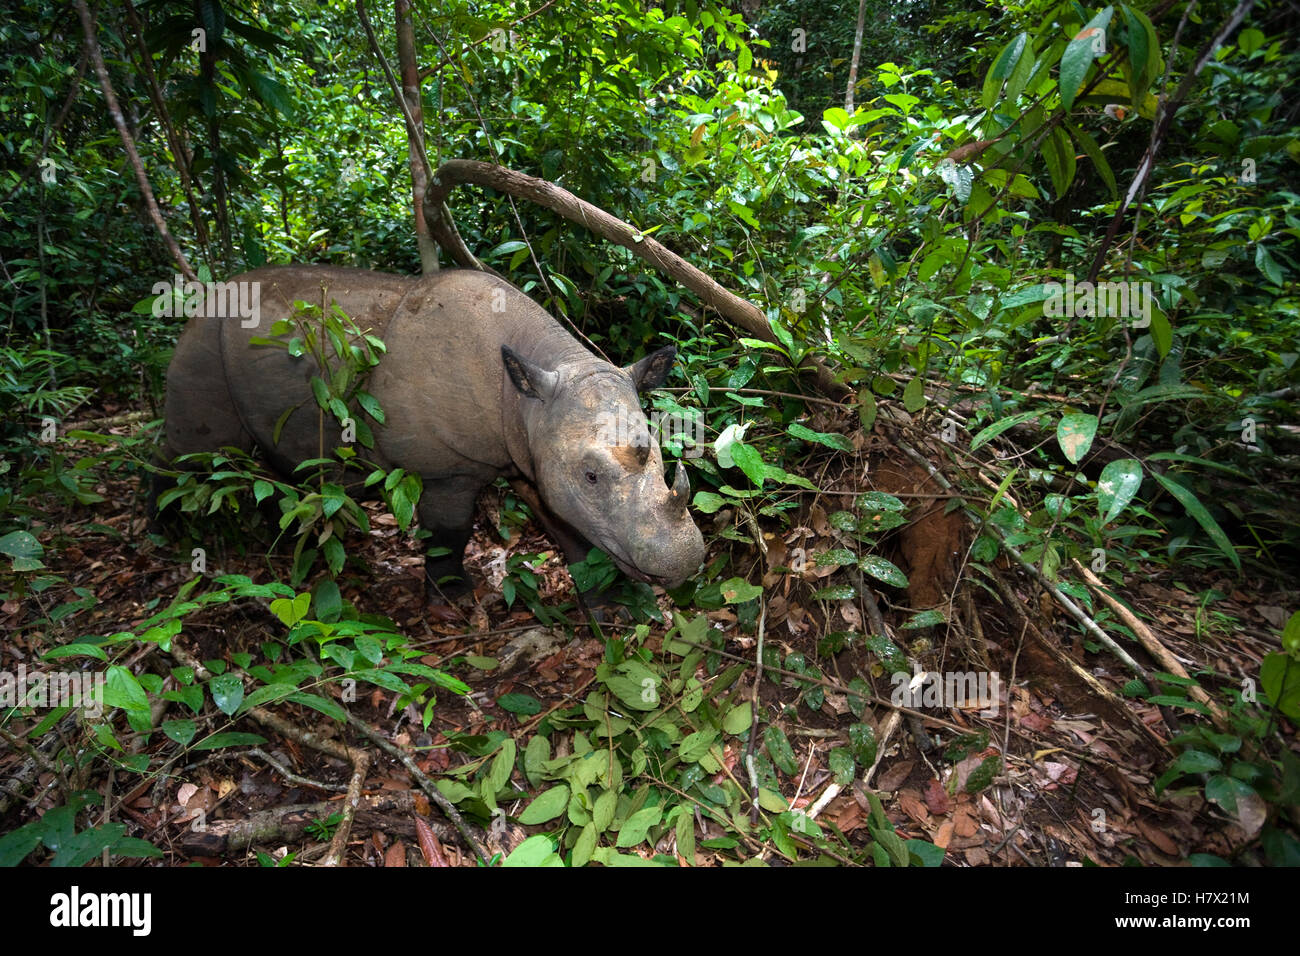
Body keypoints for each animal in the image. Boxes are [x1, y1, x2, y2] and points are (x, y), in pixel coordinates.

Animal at [157, 265, 706, 598]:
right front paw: (452, 594)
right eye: (591, 476)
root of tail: (208, 295)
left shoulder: (532, 450)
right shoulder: (447, 466)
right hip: (203, 336)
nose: (684, 562)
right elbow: (449, 530)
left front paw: (608, 600)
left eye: (661, 461)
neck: (529, 396)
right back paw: (168, 536)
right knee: (197, 454)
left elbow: (569, 523)